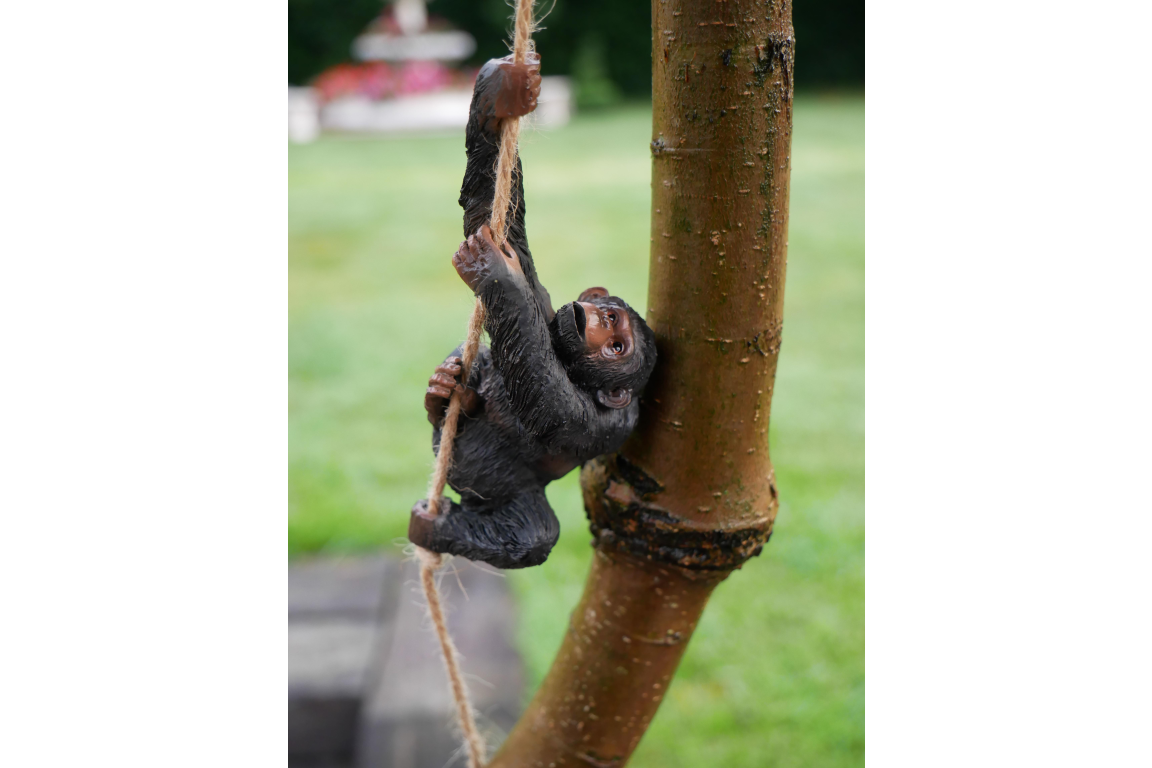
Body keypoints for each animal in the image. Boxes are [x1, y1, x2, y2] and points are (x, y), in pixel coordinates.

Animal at [408, 54, 658, 569]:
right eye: (608, 314)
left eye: (617, 346)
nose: (594, 319)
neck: (574, 365)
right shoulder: (546, 311)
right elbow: (498, 218)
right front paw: (502, 91)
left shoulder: (604, 423)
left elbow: (545, 398)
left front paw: (494, 273)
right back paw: (444, 392)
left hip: (512, 504)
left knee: (531, 536)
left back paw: (436, 527)